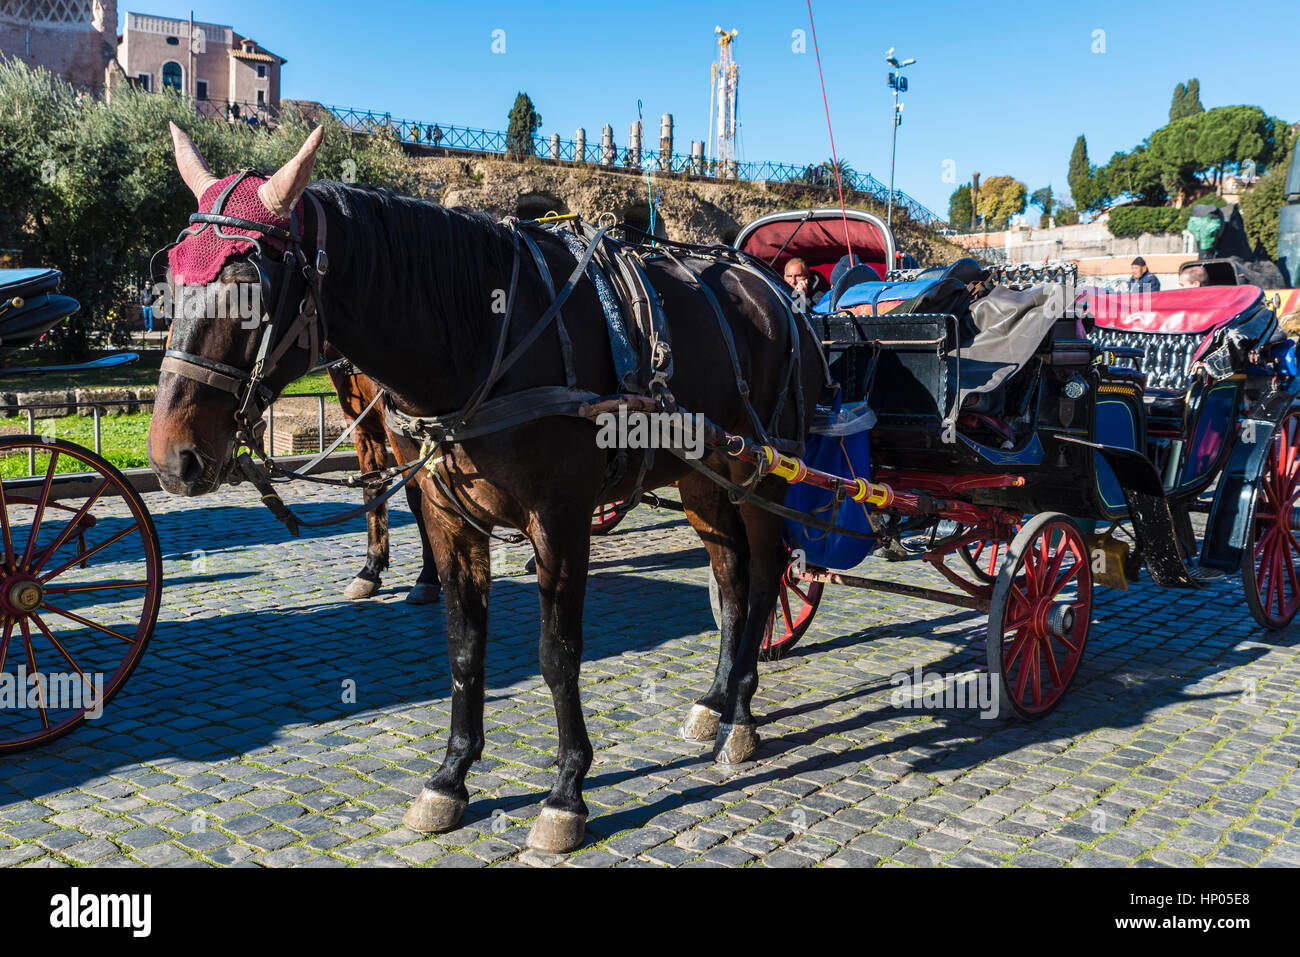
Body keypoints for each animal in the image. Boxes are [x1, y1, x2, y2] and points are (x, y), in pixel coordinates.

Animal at [147, 123, 824, 853]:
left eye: (248, 285)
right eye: (171, 274)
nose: (170, 454)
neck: (478, 334)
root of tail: (775, 291)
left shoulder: (560, 519)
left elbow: (558, 654)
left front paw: (566, 792)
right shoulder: (452, 517)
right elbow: (465, 647)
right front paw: (451, 777)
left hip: (767, 468)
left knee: (765, 575)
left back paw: (743, 713)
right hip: (702, 475)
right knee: (730, 575)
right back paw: (716, 698)